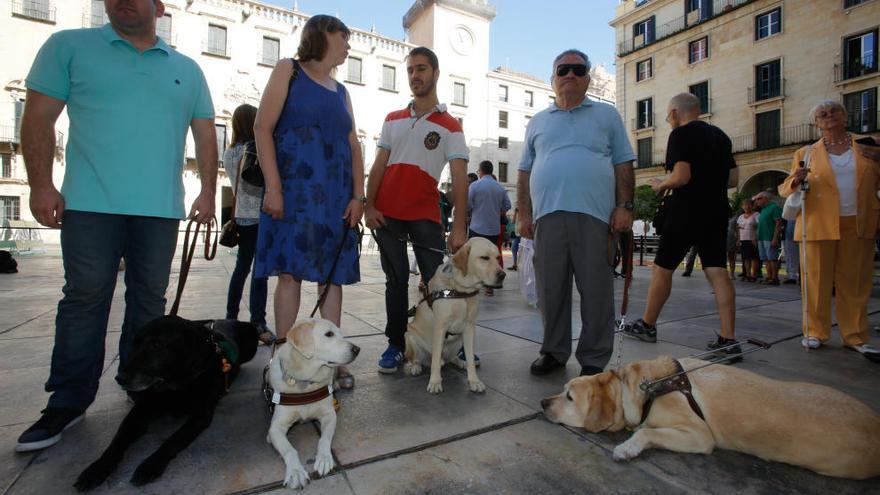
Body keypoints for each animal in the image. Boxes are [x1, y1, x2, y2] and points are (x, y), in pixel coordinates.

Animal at [74, 318, 258, 492]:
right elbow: (117, 441)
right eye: (134, 344)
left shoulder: (200, 416)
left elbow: (173, 440)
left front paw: (149, 465)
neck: (174, 386)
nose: (120, 378)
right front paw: (96, 470)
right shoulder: (140, 411)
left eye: (156, 345)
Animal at [266, 320, 360, 490]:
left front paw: (324, 459)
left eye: (341, 334)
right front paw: (295, 471)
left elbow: (324, 439)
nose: (357, 349)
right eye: (329, 334)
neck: (306, 383)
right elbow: (290, 450)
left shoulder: (329, 416)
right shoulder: (274, 429)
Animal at [404, 238, 506, 398]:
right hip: (409, 335)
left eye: (497, 258)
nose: (502, 275)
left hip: (458, 341)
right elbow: (435, 362)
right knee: (416, 359)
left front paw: (474, 381)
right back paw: (415, 367)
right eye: (484, 258)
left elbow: (470, 359)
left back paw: (459, 362)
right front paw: (435, 382)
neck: (461, 291)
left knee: (450, 358)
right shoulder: (440, 327)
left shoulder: (469, 328)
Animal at [544, 356, 880, 480]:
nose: (542, 401)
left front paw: (627, 447)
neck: (643, 387)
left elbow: (646, 431)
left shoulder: (699, 435)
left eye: (569, 396)